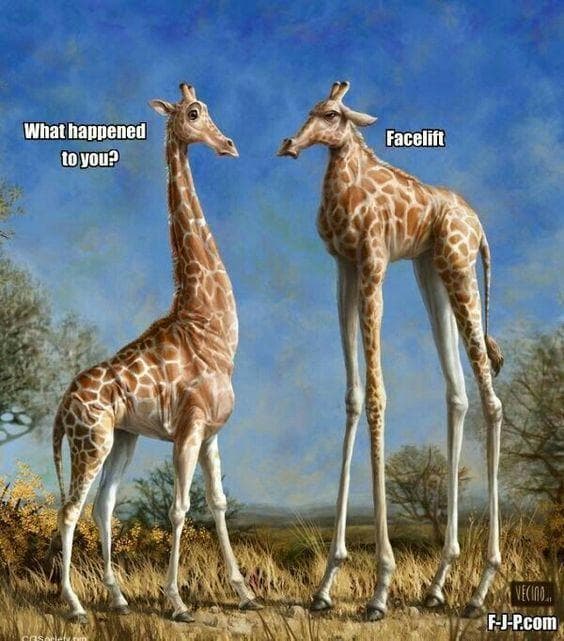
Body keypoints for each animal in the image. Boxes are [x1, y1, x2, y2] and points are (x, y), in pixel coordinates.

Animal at [52, 82, 261, 622]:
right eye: (194, 113)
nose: (228, 144)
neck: (209, 324)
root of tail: (61, 407)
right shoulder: (187, 431)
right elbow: (179, 507)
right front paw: (177, 602)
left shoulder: (211, 433)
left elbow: (218, 503)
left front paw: (244, 593)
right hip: (91, 441)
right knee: (70, 508)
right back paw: (76, 605)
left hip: (122, 438)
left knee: (103, 505)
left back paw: (118, 598)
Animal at [277, 81, 504, 621]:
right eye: (310, 110)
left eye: (332, 114)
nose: (290, 145)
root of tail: (480, 228)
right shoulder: (344, 267)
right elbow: (354, 395)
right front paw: (325, 584)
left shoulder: (375, 263)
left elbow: (379, 395)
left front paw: (380, 587)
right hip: (431, 271)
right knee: (458, 394)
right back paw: (439, 585)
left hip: (459, 270)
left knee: (491, 400)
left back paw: (480, 589)